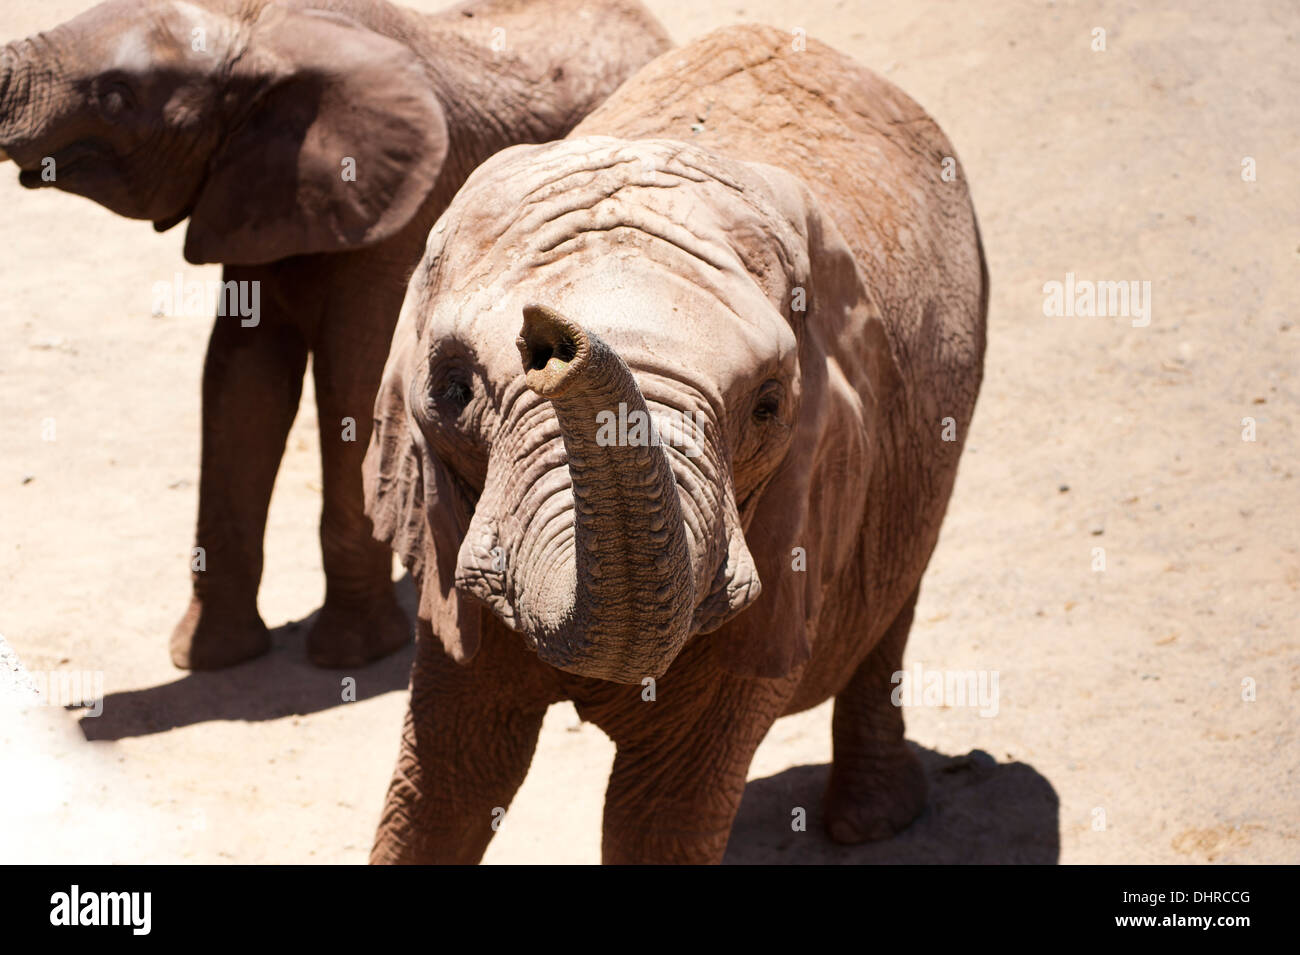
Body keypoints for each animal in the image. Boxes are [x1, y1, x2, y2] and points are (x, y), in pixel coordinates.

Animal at [0, 0, 671, 669]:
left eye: (116, 96)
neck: (263, 30)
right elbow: (240, 383)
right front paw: (211, 659)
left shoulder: (394, 219)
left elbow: (349, 381)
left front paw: (352, 657)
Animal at [362, 24, 989, 864]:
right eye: (453, 389)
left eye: (768, 406)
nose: (552, 341)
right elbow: (452, 776)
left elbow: (660, 809)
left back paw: (871, 823)